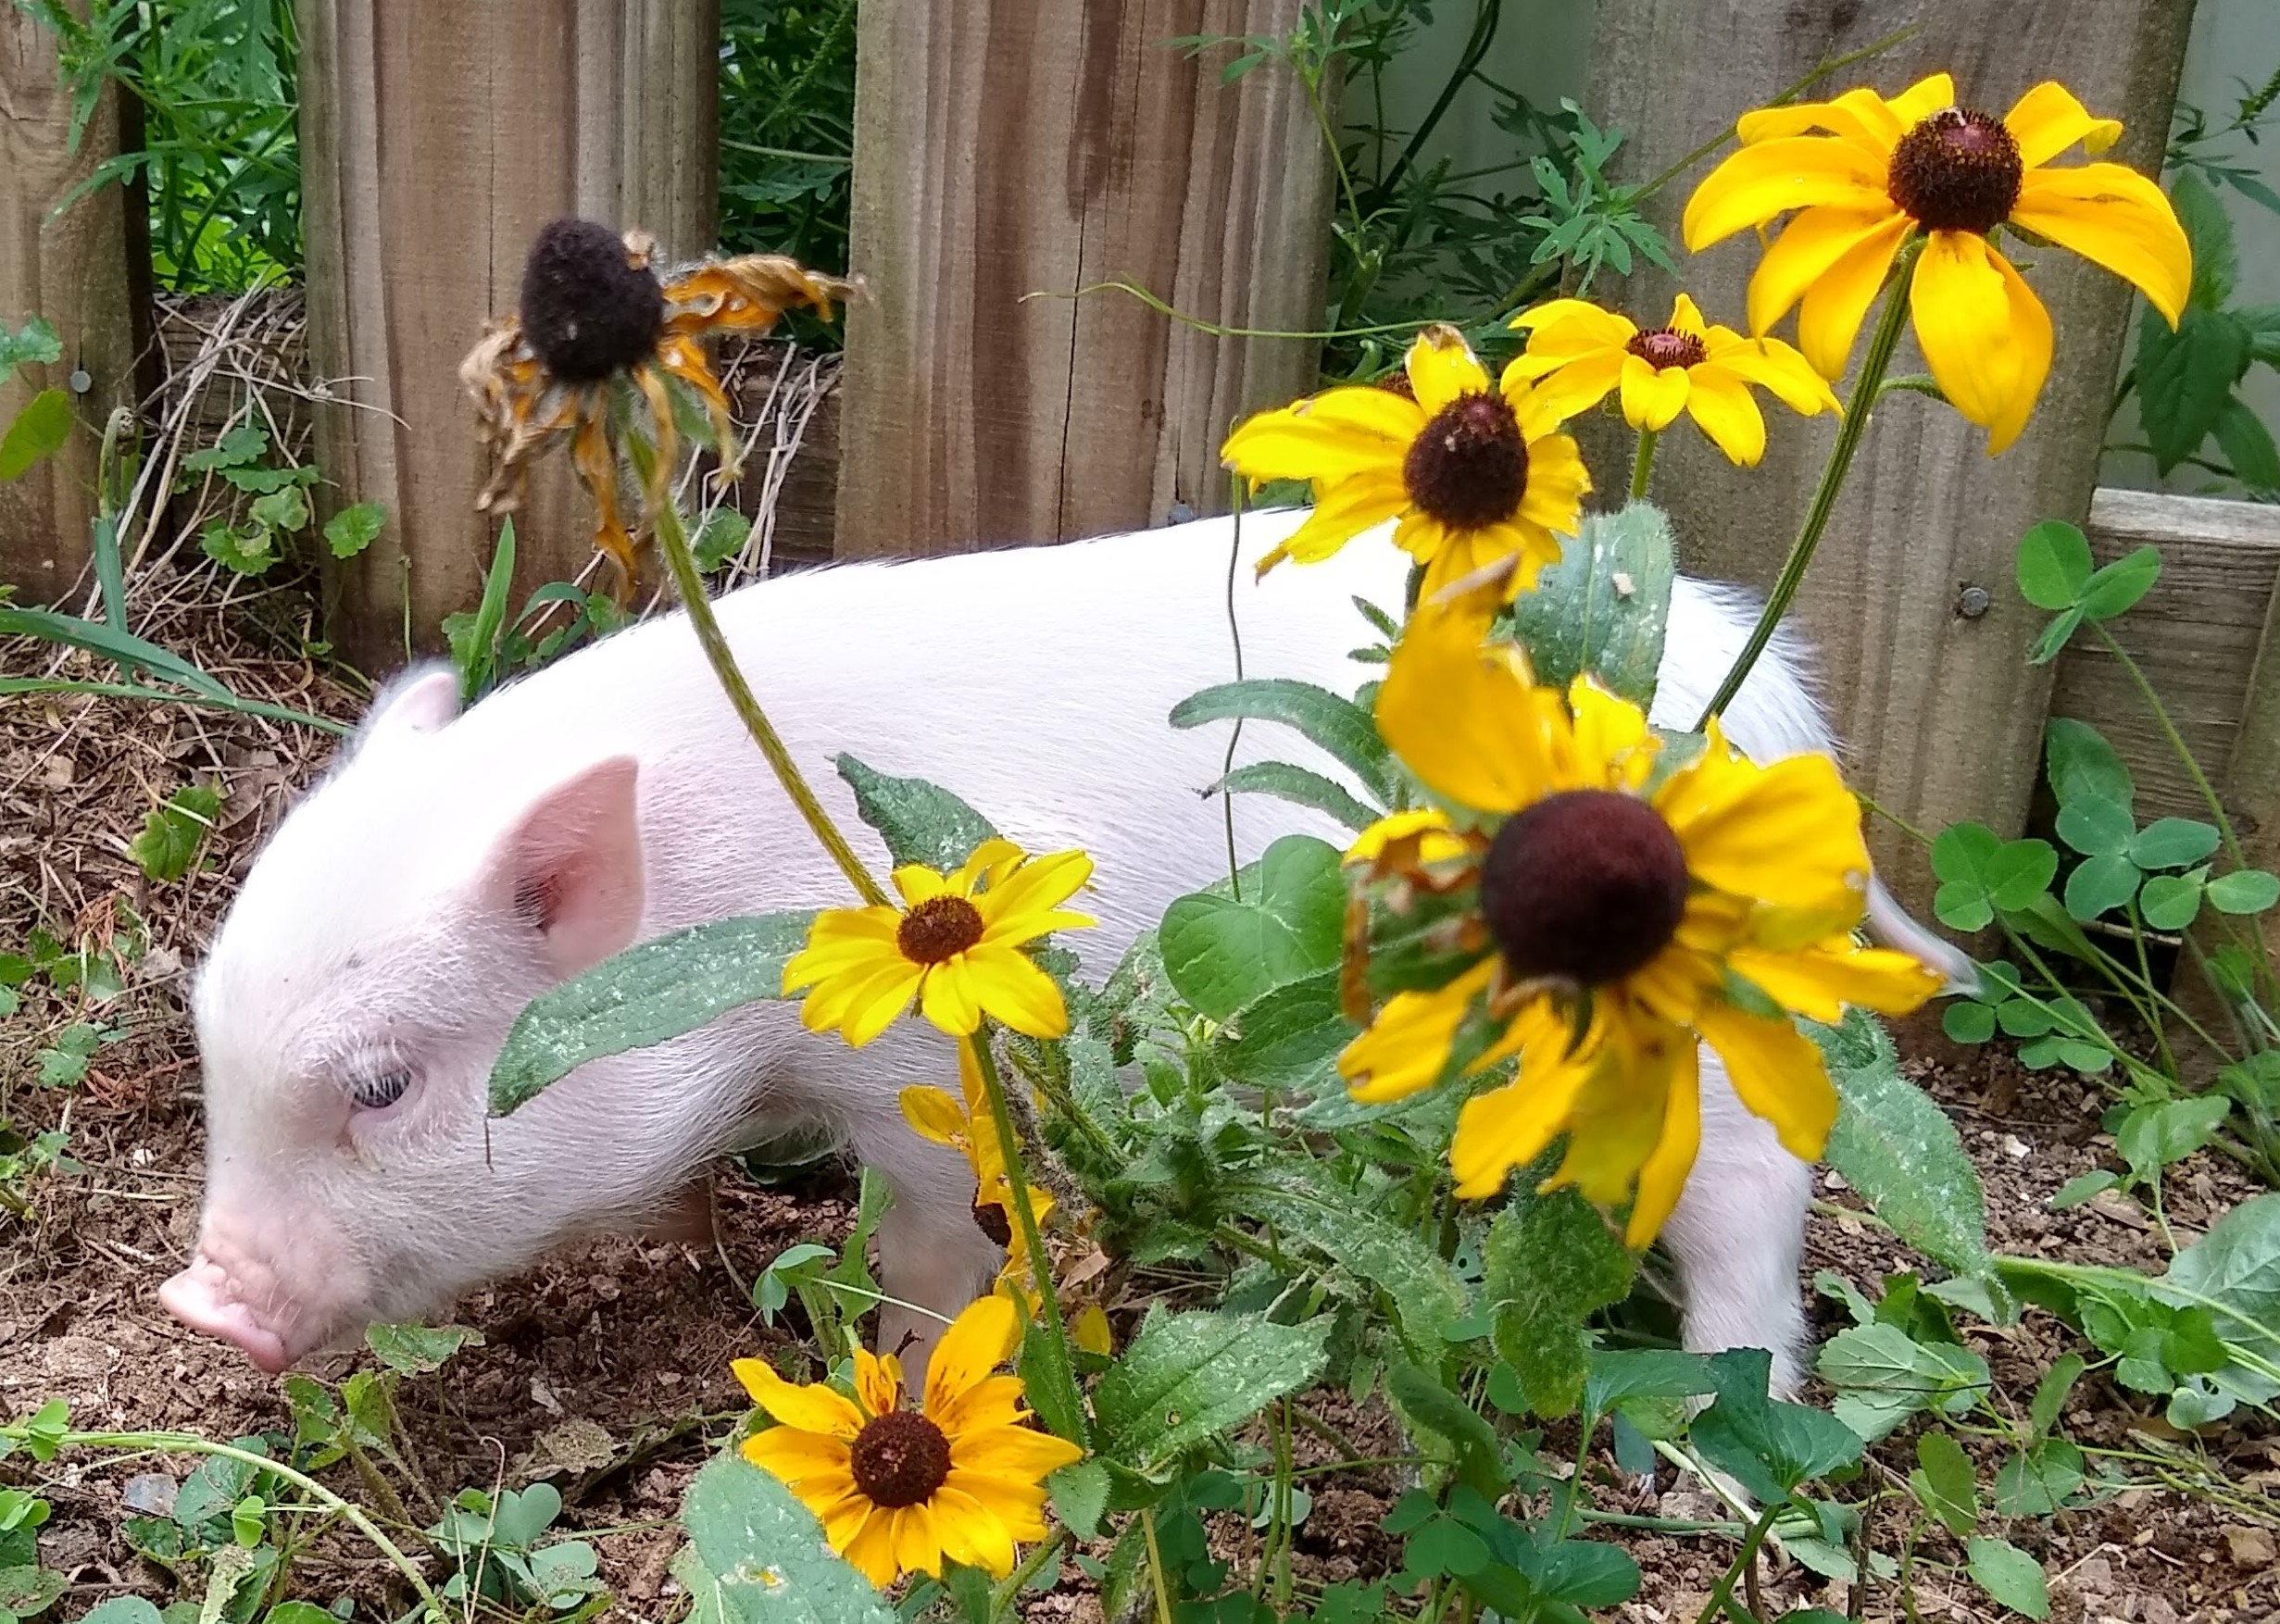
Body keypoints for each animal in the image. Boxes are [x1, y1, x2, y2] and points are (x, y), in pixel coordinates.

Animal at [163, 507, 1973, 1395]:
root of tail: (1771, 699)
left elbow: (927, 1238)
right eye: (208, 1055)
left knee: (1753, 1183)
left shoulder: (926, 1065)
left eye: (382, 1085)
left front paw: (914, 1364)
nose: (203, 1301)